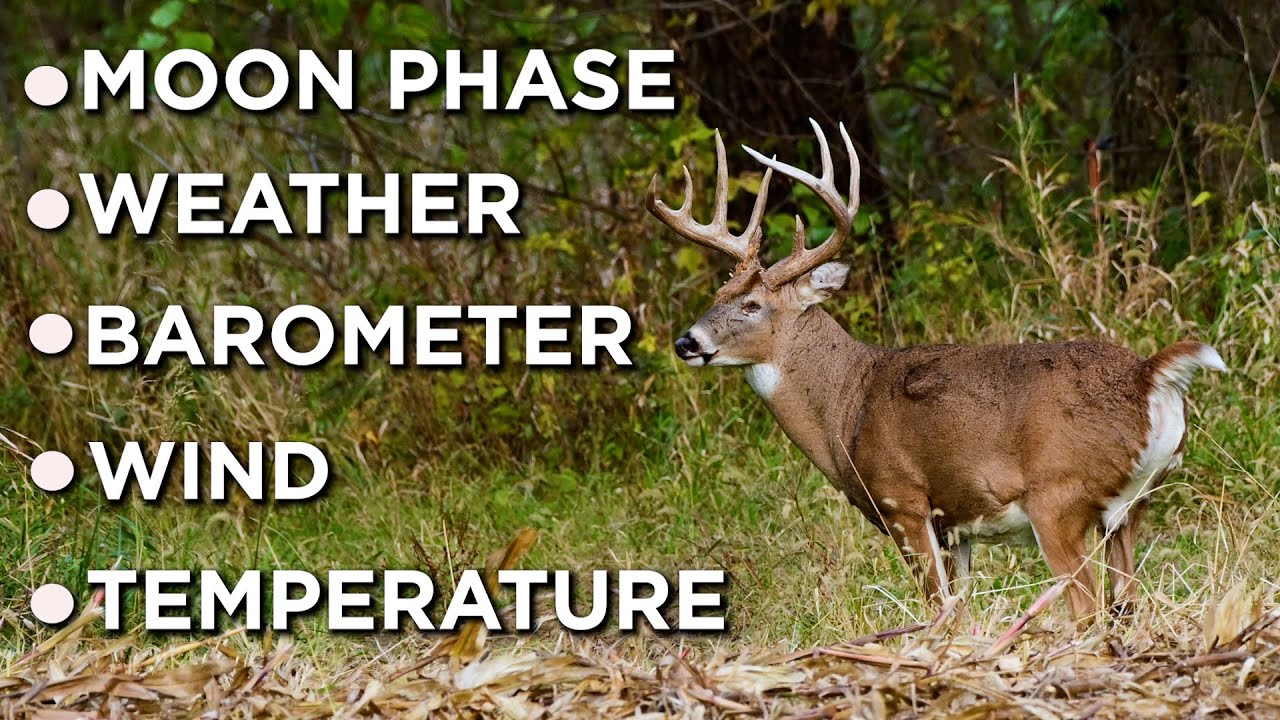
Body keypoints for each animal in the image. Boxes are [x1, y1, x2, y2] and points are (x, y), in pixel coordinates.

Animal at [646, 120, 1226, 622]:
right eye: (718, 295)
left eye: (752, 306)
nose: (687, 342)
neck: (847, 406)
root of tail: (1148, 376)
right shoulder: (957, 524)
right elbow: (962, 611)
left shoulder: (902, 499)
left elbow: (939, 611)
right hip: (1132, 506)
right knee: (1127, 601)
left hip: (1059, 497)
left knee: (1088, 608)